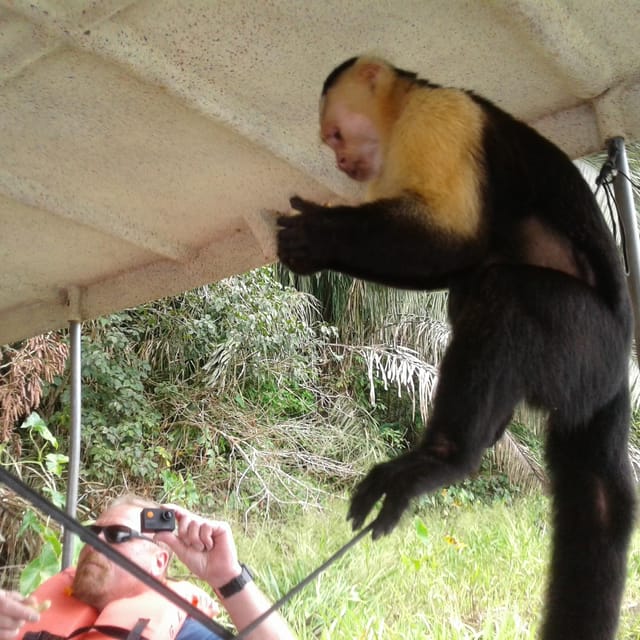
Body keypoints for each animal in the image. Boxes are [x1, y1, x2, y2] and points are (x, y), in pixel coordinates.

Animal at [276, 56, 636, 640]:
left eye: (335, 135)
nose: (342, 162)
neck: (397, 119)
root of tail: (618, 373)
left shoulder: (443, 118)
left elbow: (456, 241)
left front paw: (317, 232)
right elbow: (442, 261)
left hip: (590, 346)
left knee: (506, 292)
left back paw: (446, 456)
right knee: (471, 289)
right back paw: (483, 433)